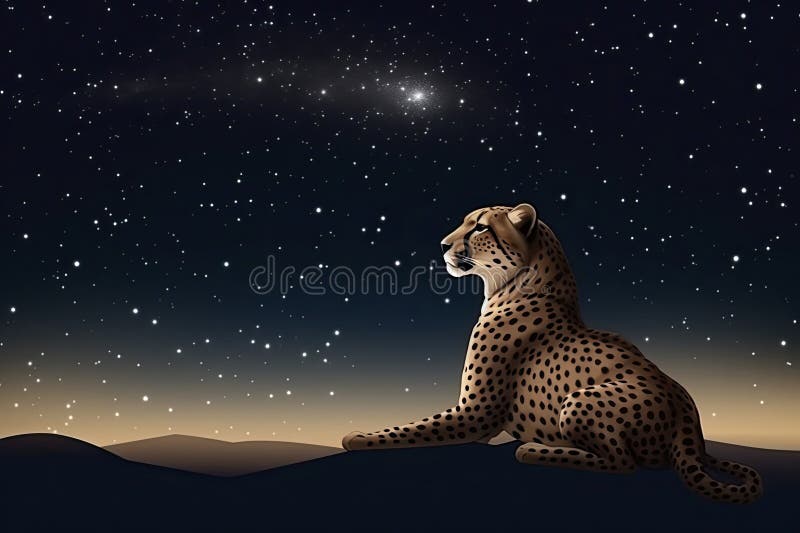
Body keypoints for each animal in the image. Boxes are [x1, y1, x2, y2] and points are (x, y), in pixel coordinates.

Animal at [342, 203, 763, 504]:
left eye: (480, 227)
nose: (444, 245)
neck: (515, 284)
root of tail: (687, 413)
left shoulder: (474, 413)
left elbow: (409, 429)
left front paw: (358, 436)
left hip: (580, 399)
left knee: (622, 463)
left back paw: (535, 449)